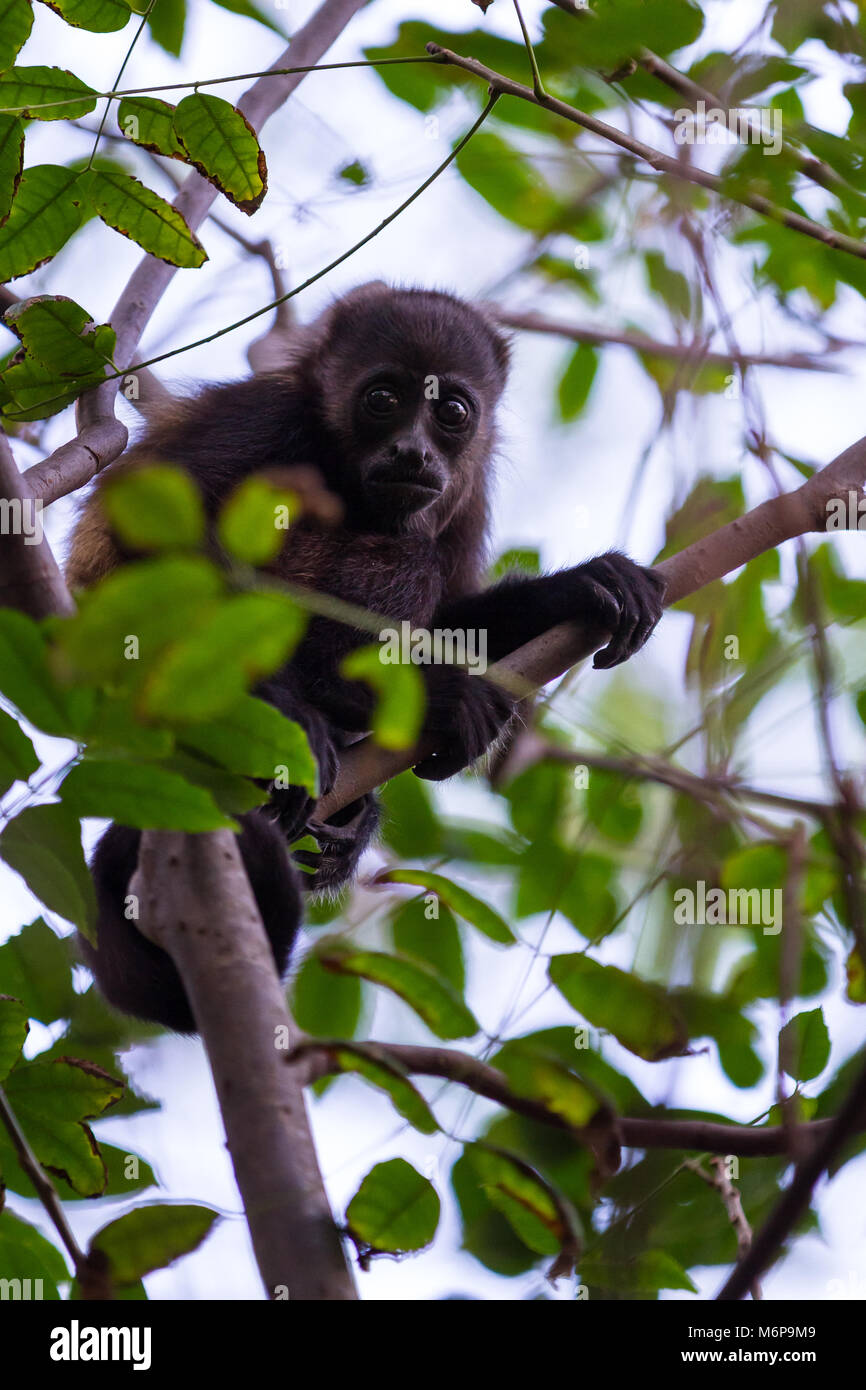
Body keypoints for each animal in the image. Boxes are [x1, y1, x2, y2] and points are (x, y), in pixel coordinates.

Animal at [66, 283, 666, 1032]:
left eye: (452, 411)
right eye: (382, 399)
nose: (412, 450)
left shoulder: (467, 495)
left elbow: (453, 615)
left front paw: (578, 586)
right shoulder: (260, 419)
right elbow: (152, 550)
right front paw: (290, 716)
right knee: (388, 556)